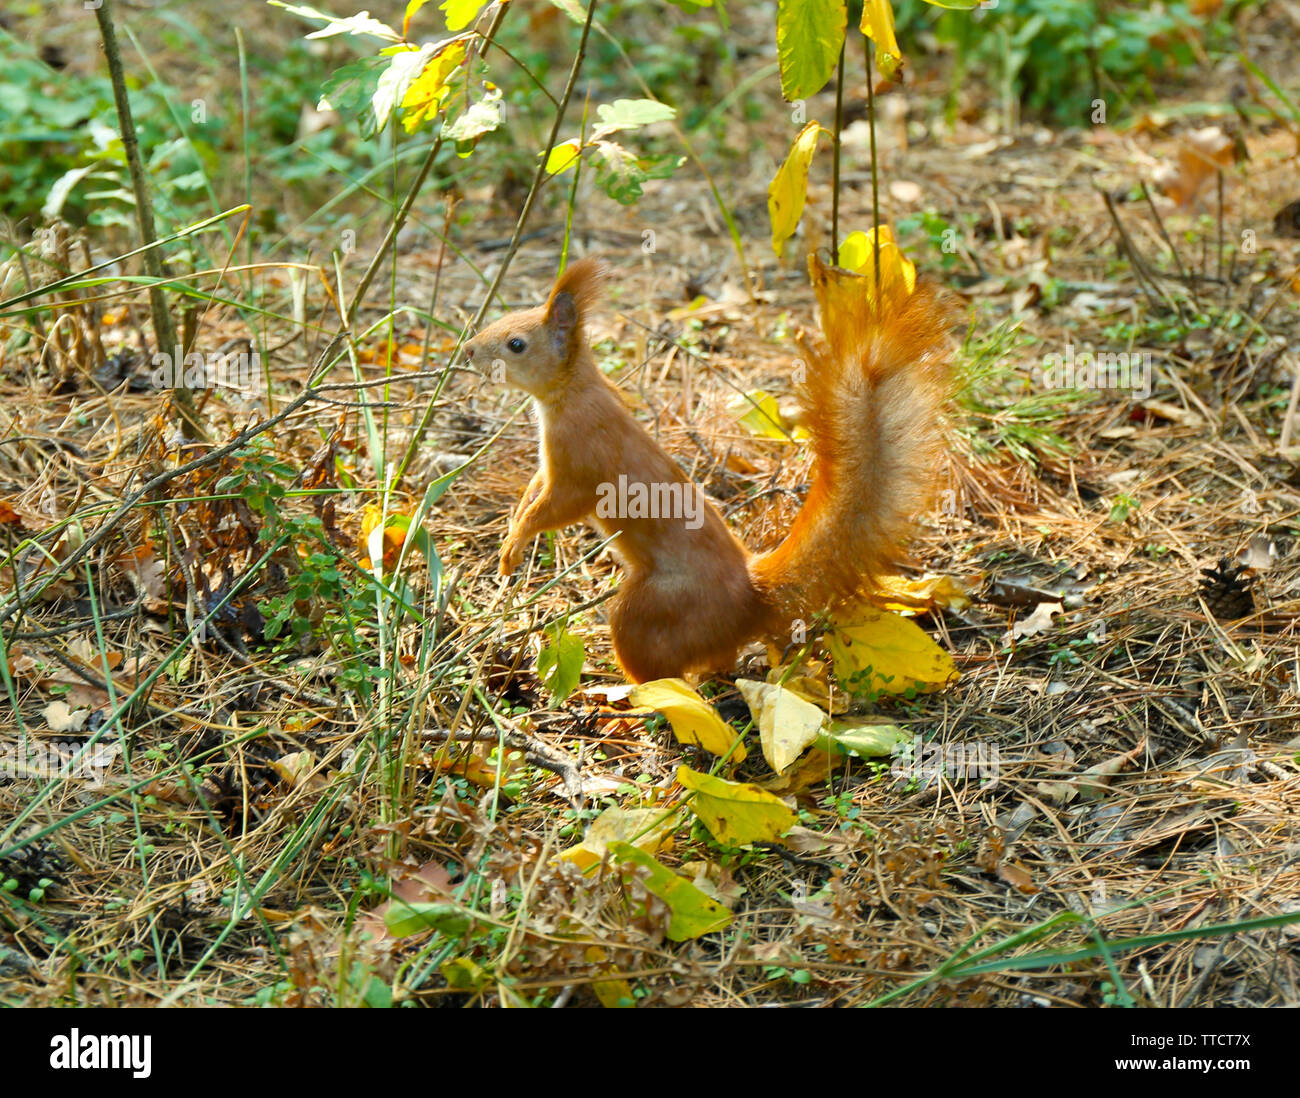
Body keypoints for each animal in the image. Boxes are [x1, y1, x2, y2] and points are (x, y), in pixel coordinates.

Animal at [464, 255, 952, 683]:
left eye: (516, 344)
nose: (467, 349)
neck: (572, 394)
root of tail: (748, 603)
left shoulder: (582, 461)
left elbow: (558, 507)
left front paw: (514, 545)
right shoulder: (550, 467)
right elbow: (534, 489)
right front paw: (512, 527)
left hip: (655, 607)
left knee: (660, 673)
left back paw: (624, 695)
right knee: (717, 661)